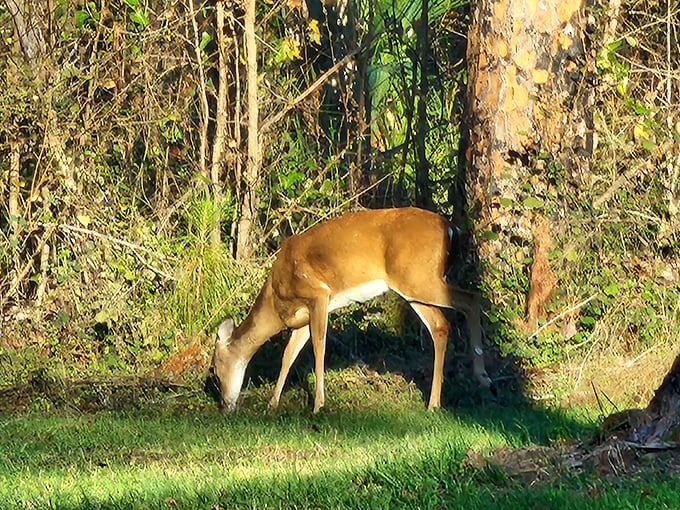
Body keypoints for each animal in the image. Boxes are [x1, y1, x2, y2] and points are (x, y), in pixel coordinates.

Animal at [206, 207, 493, 413]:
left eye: (216, 369)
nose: (224, 406)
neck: (277, 301)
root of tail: (451, 228)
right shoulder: (304, 316)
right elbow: (289, 354)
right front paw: (272, 403)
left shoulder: (318, 293)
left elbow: (319, 346)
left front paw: (318, 405)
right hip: (414, 286)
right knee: (441, 325)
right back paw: (442, 398)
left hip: (419, 278)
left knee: (471, 299)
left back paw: (475, 380)